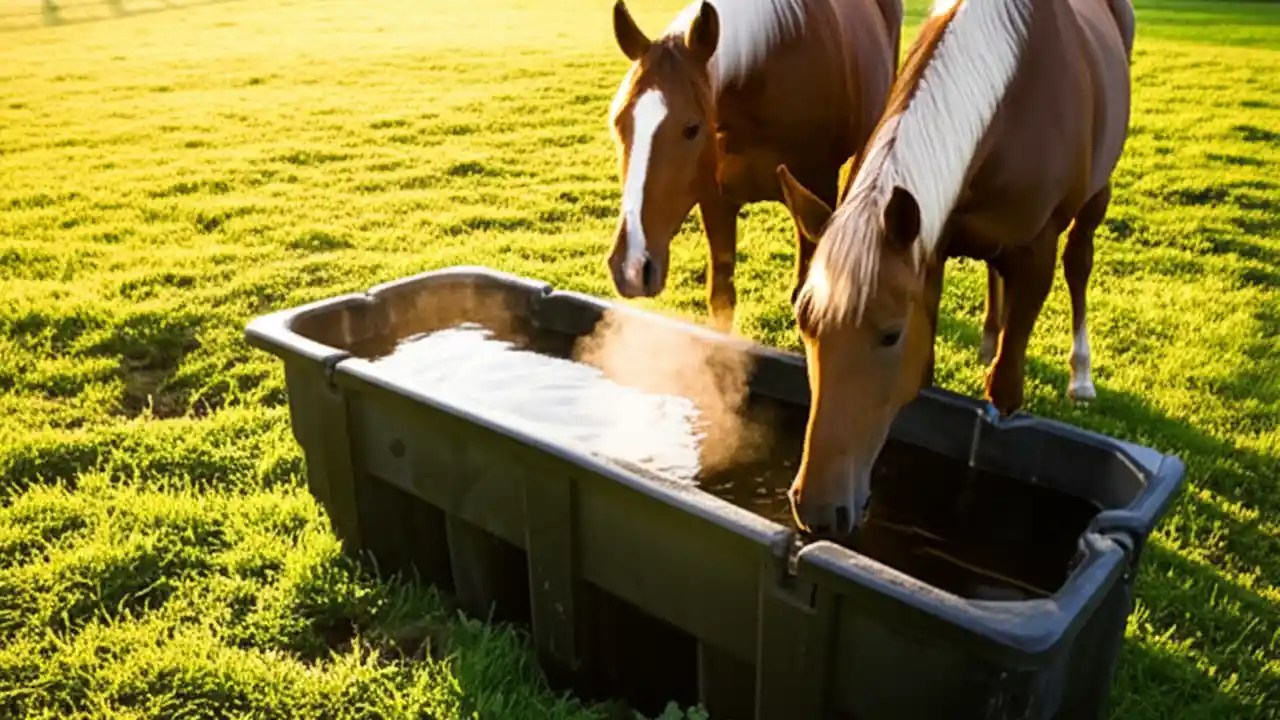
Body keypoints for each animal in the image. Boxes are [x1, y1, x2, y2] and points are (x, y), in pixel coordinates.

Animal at [604, 0, 904, 332]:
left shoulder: (816, 194)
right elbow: (721, 297)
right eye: (618, 123)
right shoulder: (716, 201)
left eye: (692, 129)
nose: (632, 267)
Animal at [778, 0, 1135, 537]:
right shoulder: (933, 242)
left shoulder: (1037, 251)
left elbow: (1005, 388)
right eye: (804, 322)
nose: (820, 513)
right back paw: (990, 337)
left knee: (1079, 265)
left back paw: (1081, 374)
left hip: (1097, 195)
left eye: (890, 334)